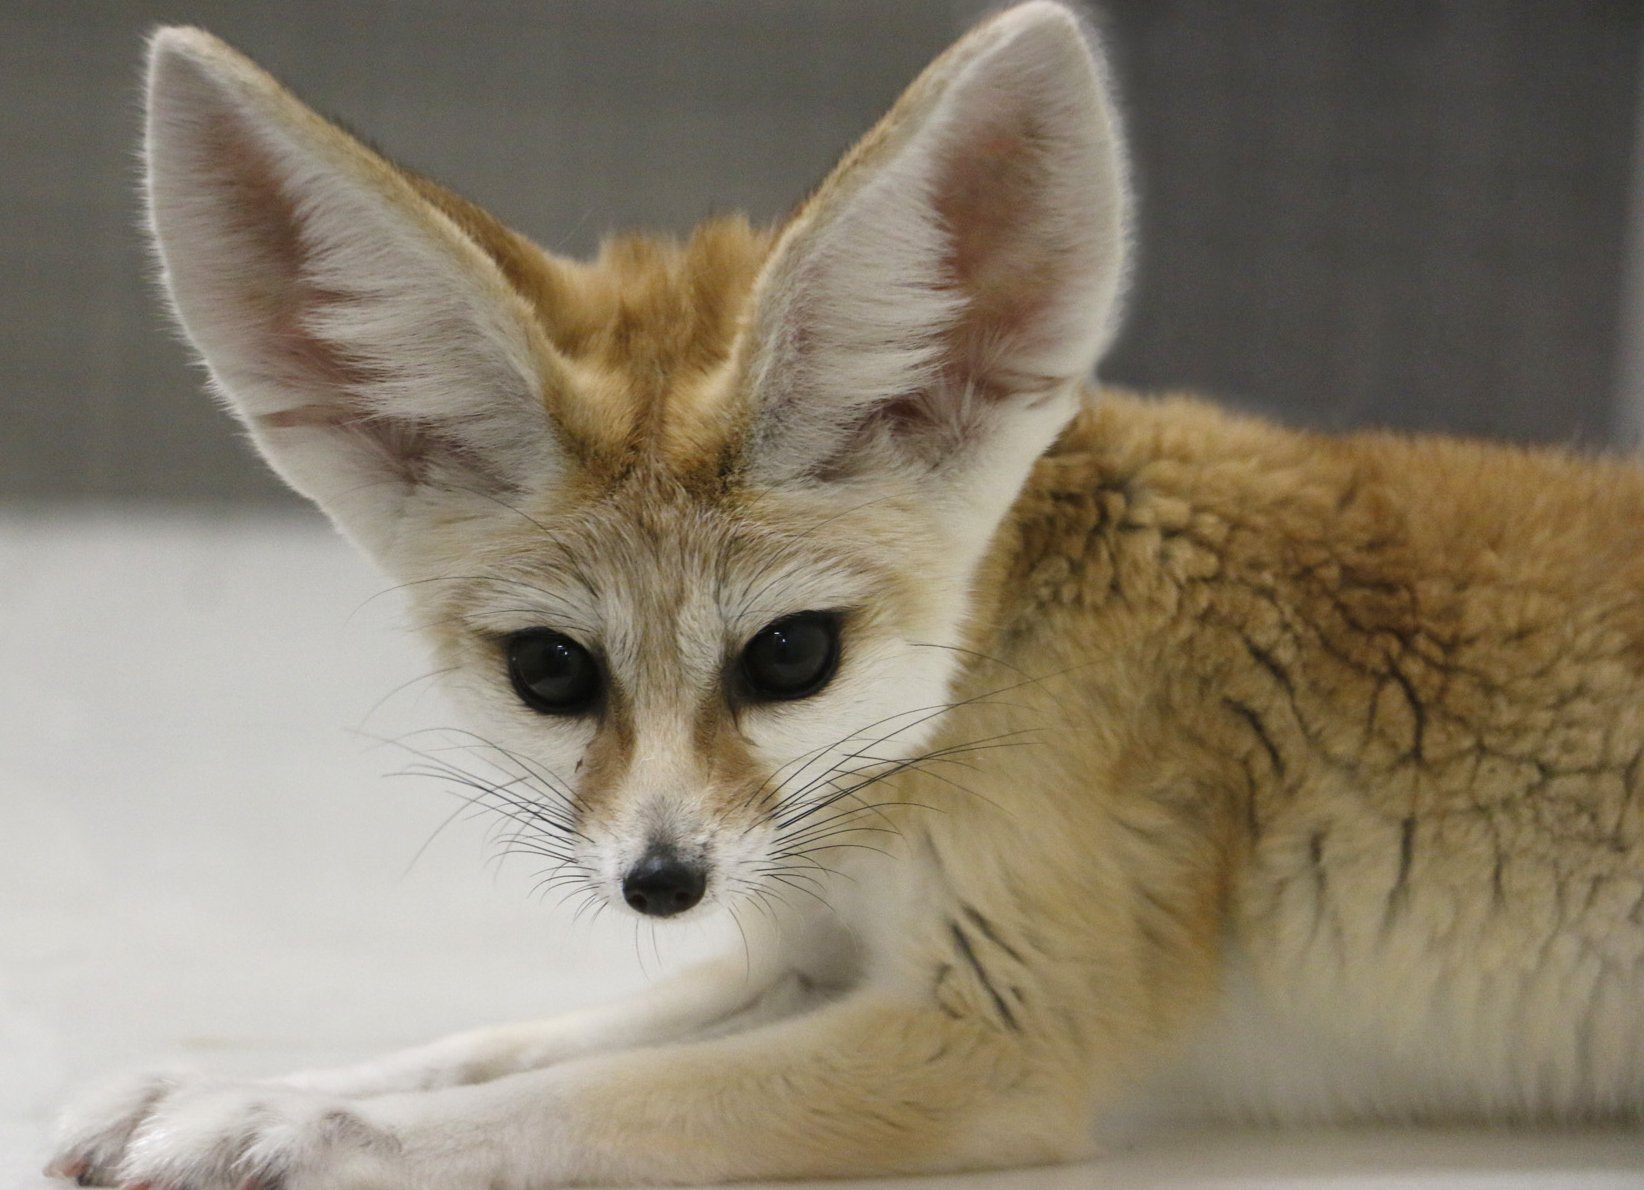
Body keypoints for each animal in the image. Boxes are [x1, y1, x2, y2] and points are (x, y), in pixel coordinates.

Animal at [45, 2, 1644, 1187]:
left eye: (791, 655)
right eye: (551, 672)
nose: (662, 881)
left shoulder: (1002, 1028)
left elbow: (586, 1104)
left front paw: (293, 1122)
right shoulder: (811, 943)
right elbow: (513, 1039)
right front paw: (236, 1087)